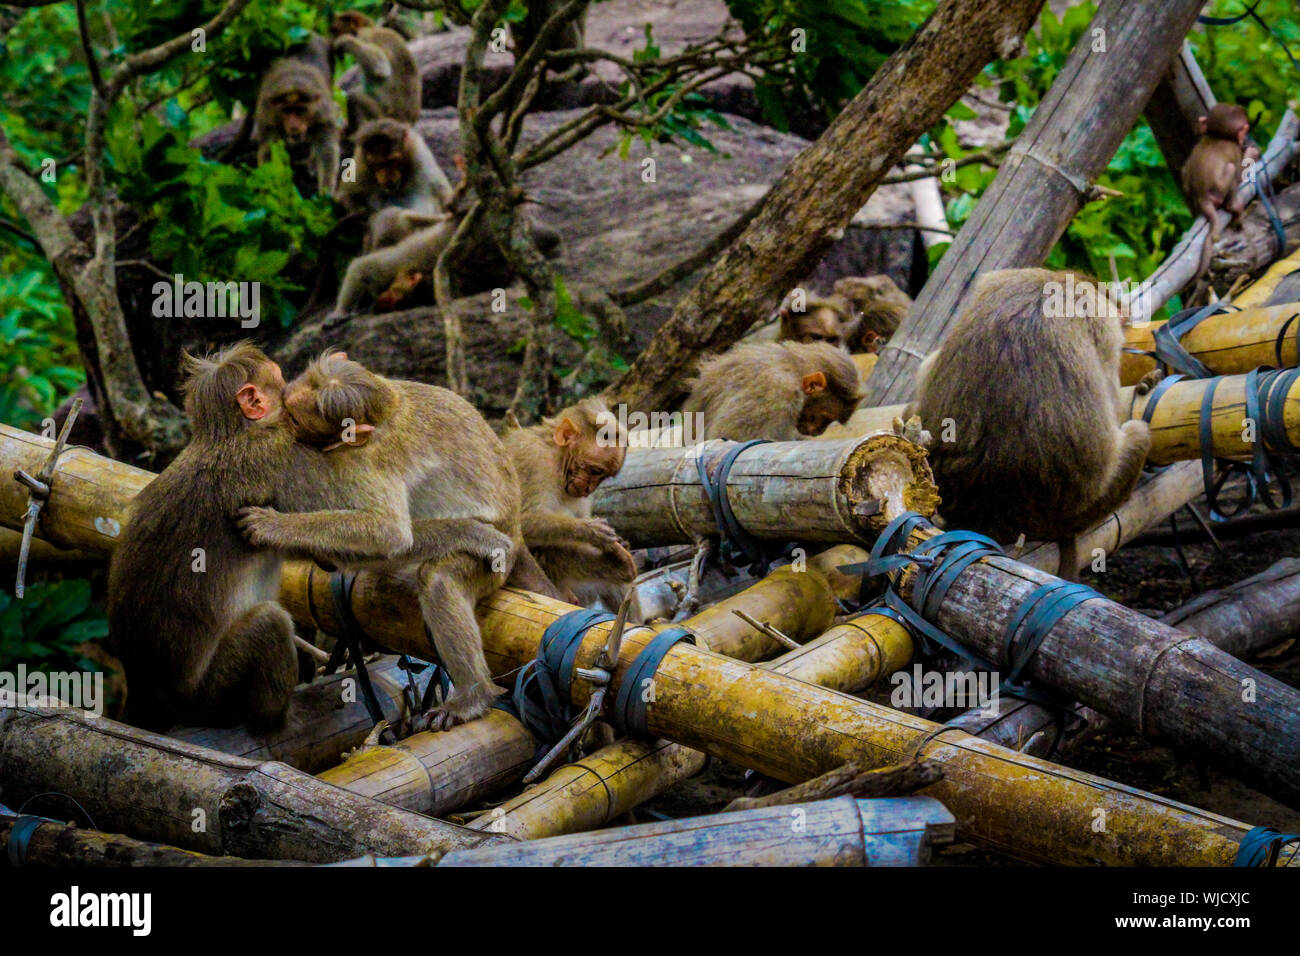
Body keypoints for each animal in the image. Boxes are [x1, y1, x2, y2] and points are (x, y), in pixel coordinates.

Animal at [251, 36, 342, 197]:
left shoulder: (321, 113)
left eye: (300, 110)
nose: (293, 124)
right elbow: (268, 151)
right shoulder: (269, 115)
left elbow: (327, 148)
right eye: (287, 111)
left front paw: (325, 193)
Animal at [503, 398, 637, 611]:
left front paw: (619, 542)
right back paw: (618, 565)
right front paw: (591, 531)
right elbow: (520, 521)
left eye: (603, 476)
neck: (557, 459)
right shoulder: (533, 460)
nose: (589, 488)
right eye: (595, 470)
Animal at [682, 341, 864, 442]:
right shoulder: (778, 393)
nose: (819, 431)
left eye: (830, 420)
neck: (794, 371)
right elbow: (730, 436)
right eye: (823, 417)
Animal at [1182, 103, 1260, 285]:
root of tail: (1202, 197)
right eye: (1245, 129)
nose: (1245, 139)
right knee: (1231, 170)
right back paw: (1234, 207)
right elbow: (1239, 173)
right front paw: (1252, 154)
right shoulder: (1235, 150)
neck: (1216, 135)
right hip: (1219, 190)